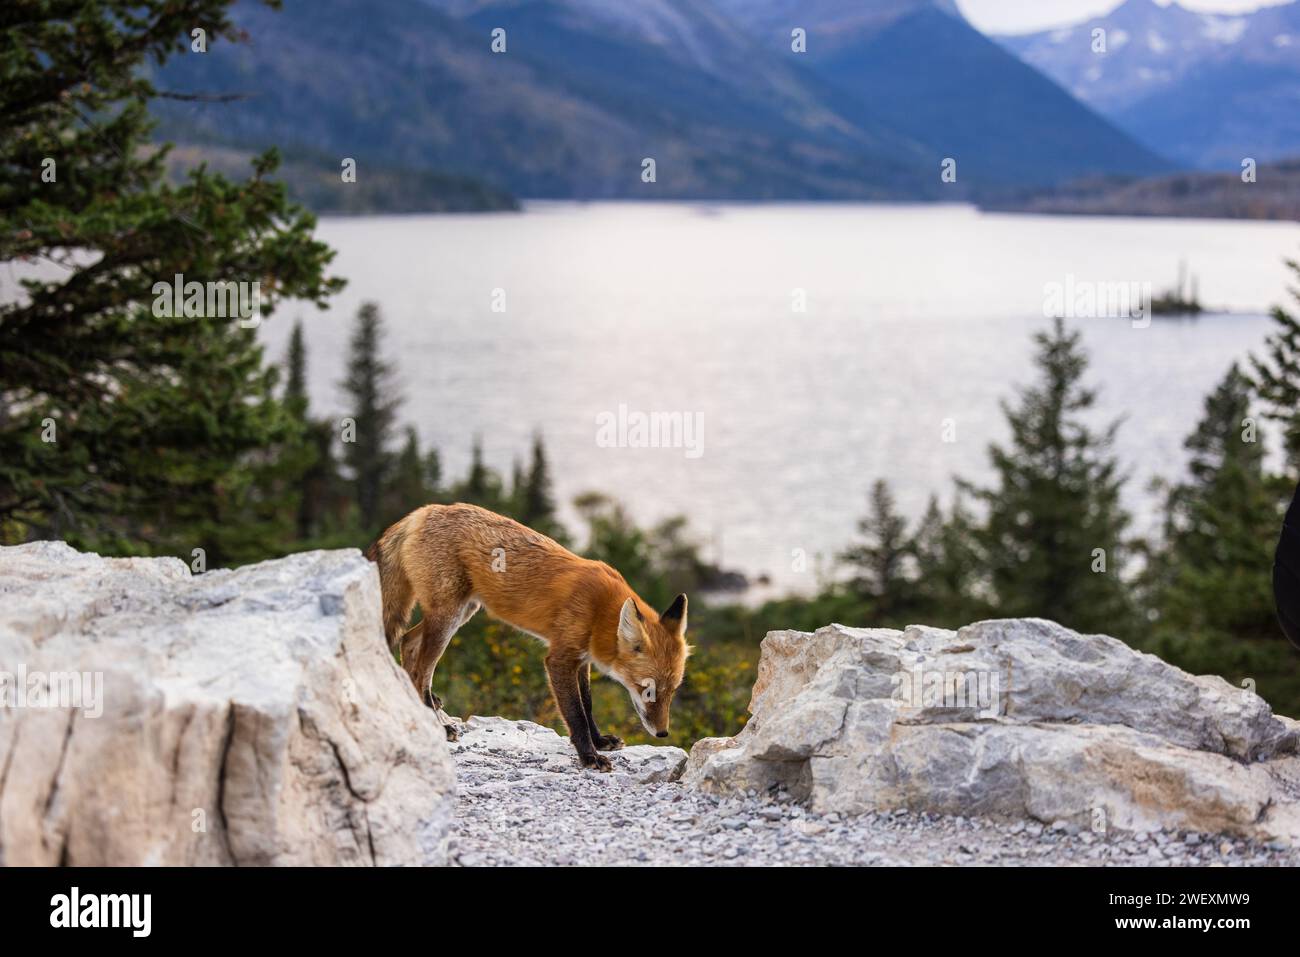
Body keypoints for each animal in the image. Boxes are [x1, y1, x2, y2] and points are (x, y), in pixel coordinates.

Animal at [365, 502, 690, 771]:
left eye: (673, 691)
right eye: (647, 690)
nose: (663, 732)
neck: (600, 610)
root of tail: (423, 511)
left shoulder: (581, 659)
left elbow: (587, 705)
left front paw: (599, 741)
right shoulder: (559, 659)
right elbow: (575, 714)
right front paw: (589, 756)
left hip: (461, 611)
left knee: (408, 642)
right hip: (447, 617)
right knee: (422, 669)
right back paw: (437, 722)